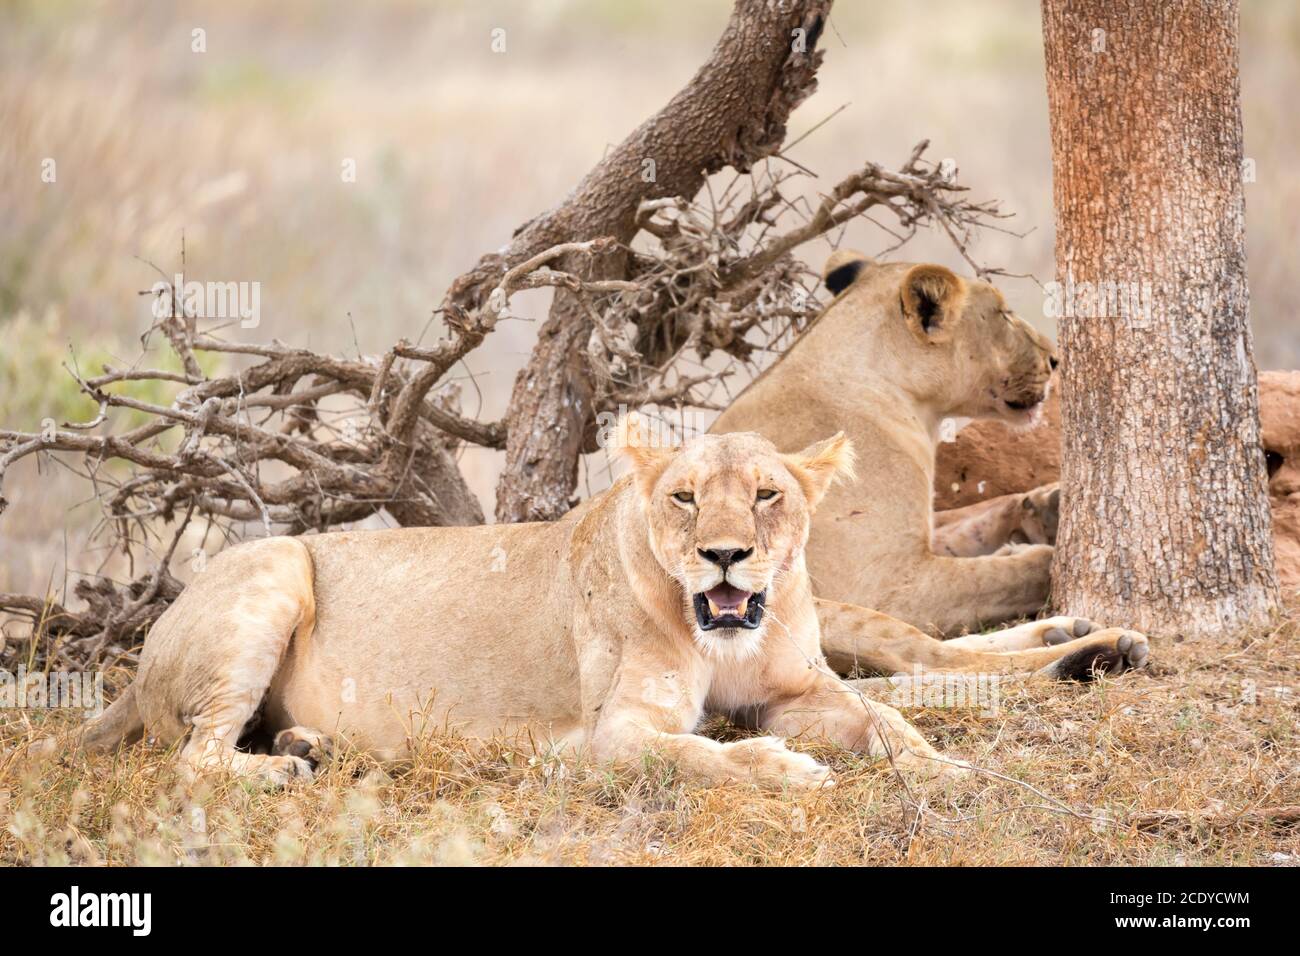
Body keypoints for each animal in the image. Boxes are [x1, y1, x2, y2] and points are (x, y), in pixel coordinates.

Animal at [74, 428, 1143, 789]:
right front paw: (786, 769)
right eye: (684, 497)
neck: (723, 637)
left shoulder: (803, 688)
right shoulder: (612, 734)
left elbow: (886, 718)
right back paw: (283, 768)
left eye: (767, 494)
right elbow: (707, 755)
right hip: (276, 569)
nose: (725, 555)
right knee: (195, 757)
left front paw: (944, 767)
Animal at [711, 252, 1085, 638]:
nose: (1054, 358)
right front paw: (1040, 554)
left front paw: (1045, 507)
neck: (911, 403)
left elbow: (966, 521)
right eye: (1004, 314)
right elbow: (1002, 576)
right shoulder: (882, 584)